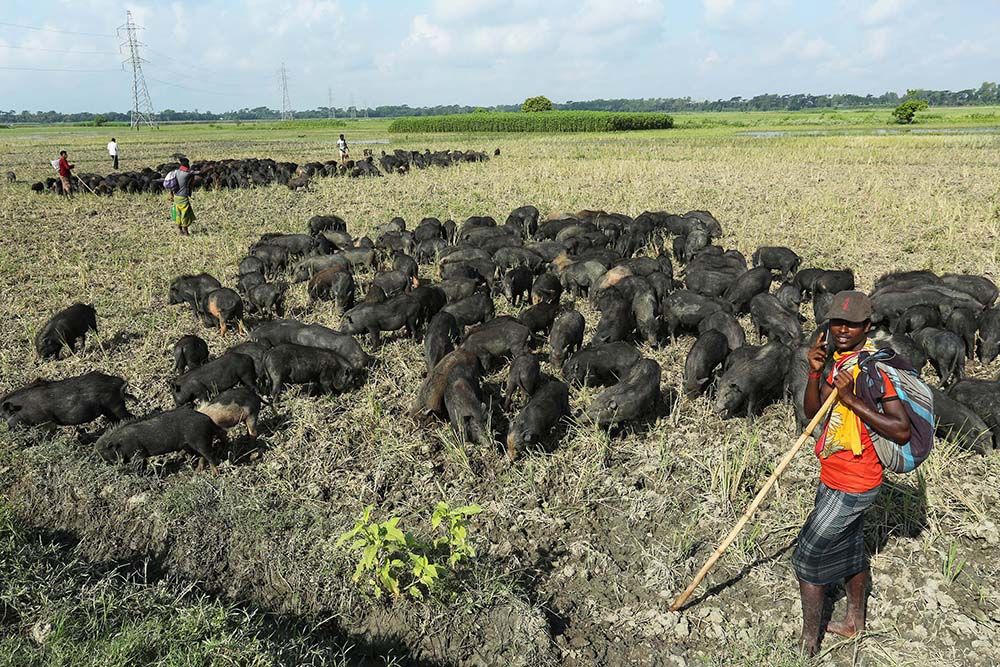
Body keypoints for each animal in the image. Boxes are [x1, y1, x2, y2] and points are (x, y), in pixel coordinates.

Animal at [2, 372, 133, 428]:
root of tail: (121, 383)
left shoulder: (47, 422)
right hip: (109, 411)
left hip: (116, 407)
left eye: (5, 416)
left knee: (130, 417)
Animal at [96, 408, 225, 470]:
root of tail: (207, 419)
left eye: (104, 452)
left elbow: (141, 466)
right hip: (190, 445)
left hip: (201, 442)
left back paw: (215, 473)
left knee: (211, 456)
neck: (120, 442)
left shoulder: (138, 454)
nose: (105, 464)